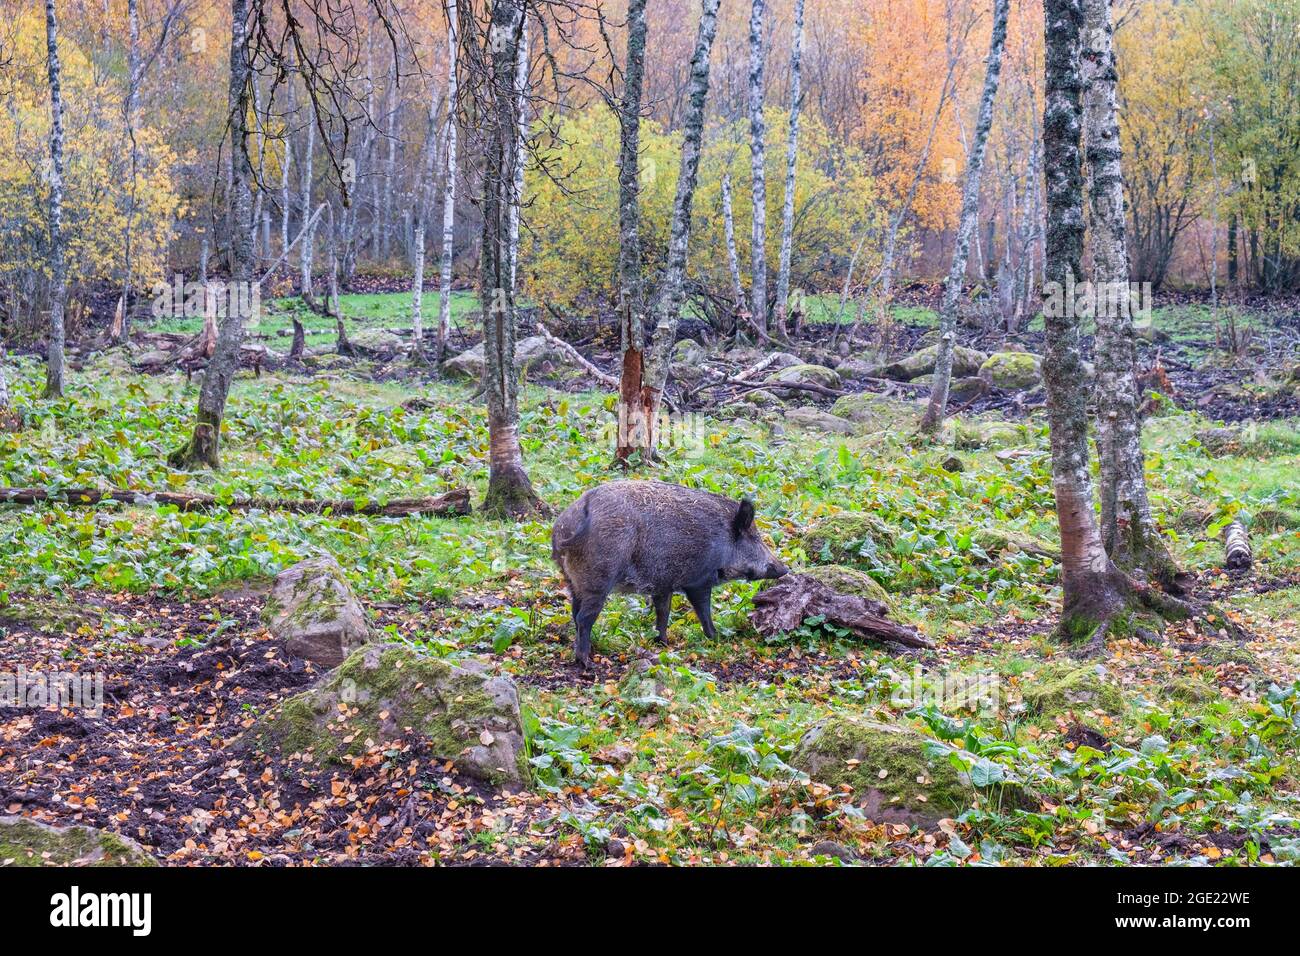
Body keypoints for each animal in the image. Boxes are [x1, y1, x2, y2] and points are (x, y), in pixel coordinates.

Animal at [551, 480, 788, 668]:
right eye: (754, 537)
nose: (785, 569)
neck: (723, 543)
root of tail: (567, 525)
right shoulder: (698, 580)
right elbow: (703, 610)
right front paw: (716, 637)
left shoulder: (662, 584)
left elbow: (663, 612)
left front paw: (663, 643)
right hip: (598, 579)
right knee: (584, 617)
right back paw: (586, 663)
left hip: (572, 580)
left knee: (574, 612)